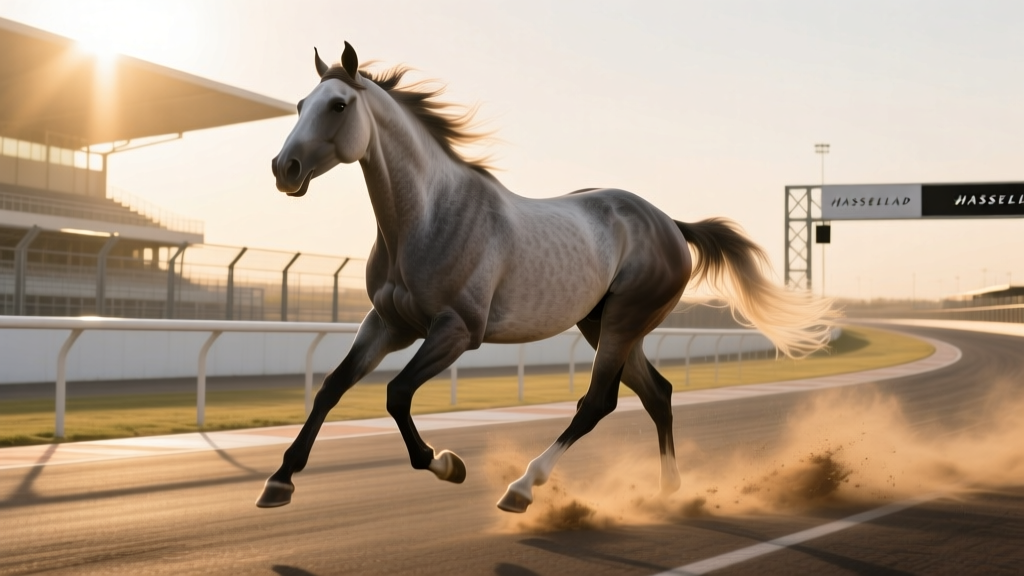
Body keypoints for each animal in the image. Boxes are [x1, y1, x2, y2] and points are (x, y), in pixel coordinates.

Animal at [259, 42, 834, 513]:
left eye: (338, 105)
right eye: (299, 105)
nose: (284, 169)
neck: (427, 217)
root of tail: (672, 223)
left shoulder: (457, 330)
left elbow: (397, 394)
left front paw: (447, 463)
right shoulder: (387, 324)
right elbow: (330, 388)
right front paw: (279, 480)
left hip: (623, 321)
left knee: (598, 403)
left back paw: (522, 488)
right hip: (601, 324)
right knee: (658, 394)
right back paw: (669, 490)